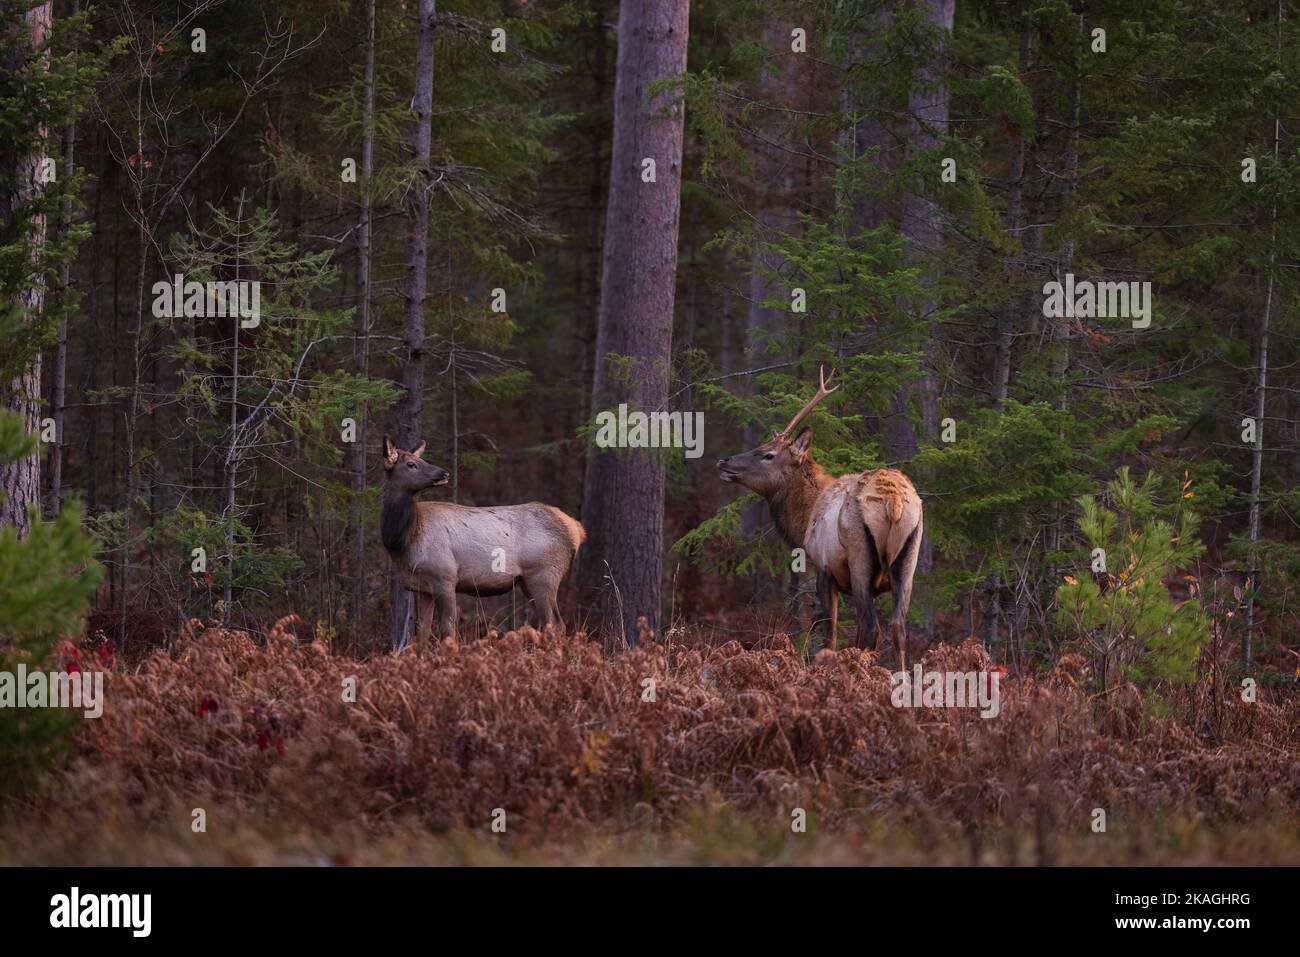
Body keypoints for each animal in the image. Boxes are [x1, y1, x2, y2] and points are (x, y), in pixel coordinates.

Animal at [380, 436, 586, 648]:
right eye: (411, 464)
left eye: (420, 460)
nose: (444, 473)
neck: (404, 540)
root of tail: (577, 529)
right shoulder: (421, 587)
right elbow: (422, 634)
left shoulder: (445, 577)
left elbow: (448, 630)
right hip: (528, 581)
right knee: (556, 624)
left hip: (544, 574)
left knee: (554, 624)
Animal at [716, 368, 923, 669]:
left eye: (768, 454)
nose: (724, 461)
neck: (803, 522)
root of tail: (893, 500)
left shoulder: (825, 569)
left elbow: (830, 635)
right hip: (909, 557)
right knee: (898, 626)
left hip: (860, 559)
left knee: (872, 627)